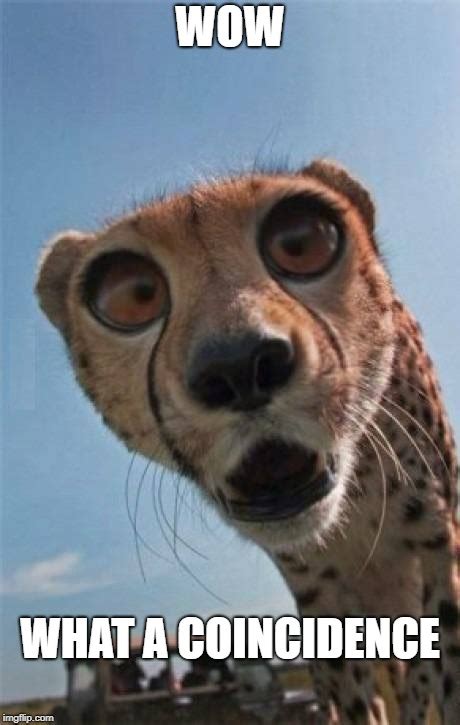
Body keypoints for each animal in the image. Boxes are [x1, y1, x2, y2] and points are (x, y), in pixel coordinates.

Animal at [35, 160, 459, 724]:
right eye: (133, 295)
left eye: (301, 242)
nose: (238, 367)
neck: (357, 495)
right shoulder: (318, 592)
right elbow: (352, 694)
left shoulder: (439, 543)